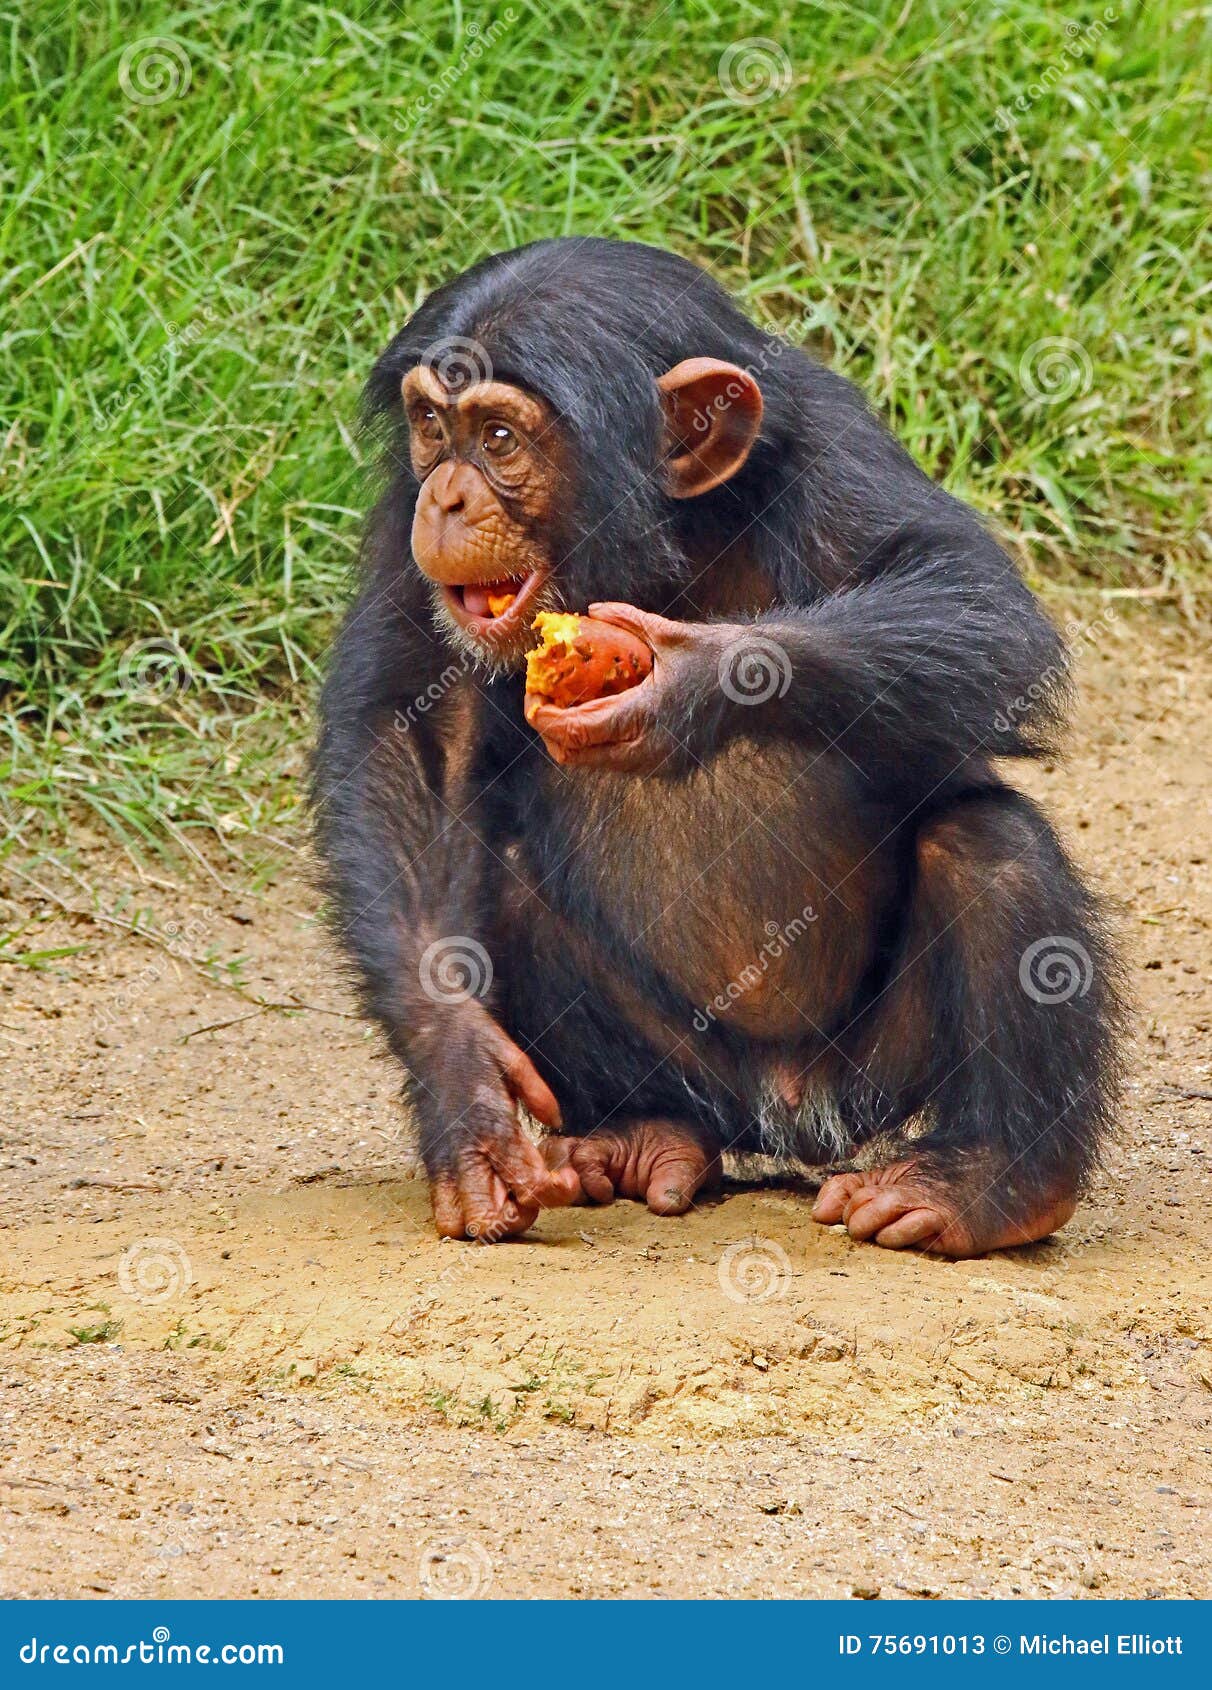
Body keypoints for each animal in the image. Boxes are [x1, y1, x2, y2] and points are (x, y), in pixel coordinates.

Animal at [313, 237, 1121, 1256]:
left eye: (498, 438)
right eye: (430, 423)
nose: (448, 497)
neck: (674, 536)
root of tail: (788, 1116)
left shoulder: (839, 458)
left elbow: (972, 597)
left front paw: (686, 679)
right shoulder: (397, 515)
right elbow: (411, 730)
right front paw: (463, 1083)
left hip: (872, 1079)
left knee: (991, 849)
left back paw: (990, 1185)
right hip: (692, 1069)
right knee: (503, 886)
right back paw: (642, 1136)